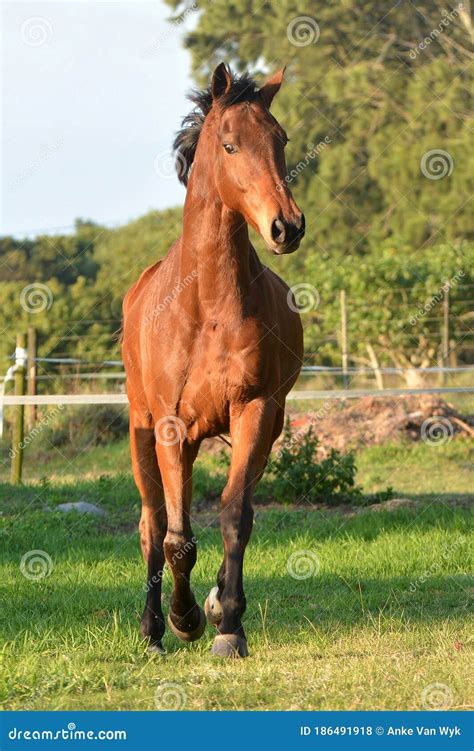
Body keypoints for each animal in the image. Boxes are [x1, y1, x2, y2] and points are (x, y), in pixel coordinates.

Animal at [122, 63, 305, 658]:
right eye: (229, 144)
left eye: (280, 140)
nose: (286, 227)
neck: (208, 307)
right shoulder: (172, 428)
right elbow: (177, 539)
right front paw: (183, 622)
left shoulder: (254, 412)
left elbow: (234, 516)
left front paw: (227, 624)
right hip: (143, 431)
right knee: (153, 524)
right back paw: (153, 630)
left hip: (264, 429)